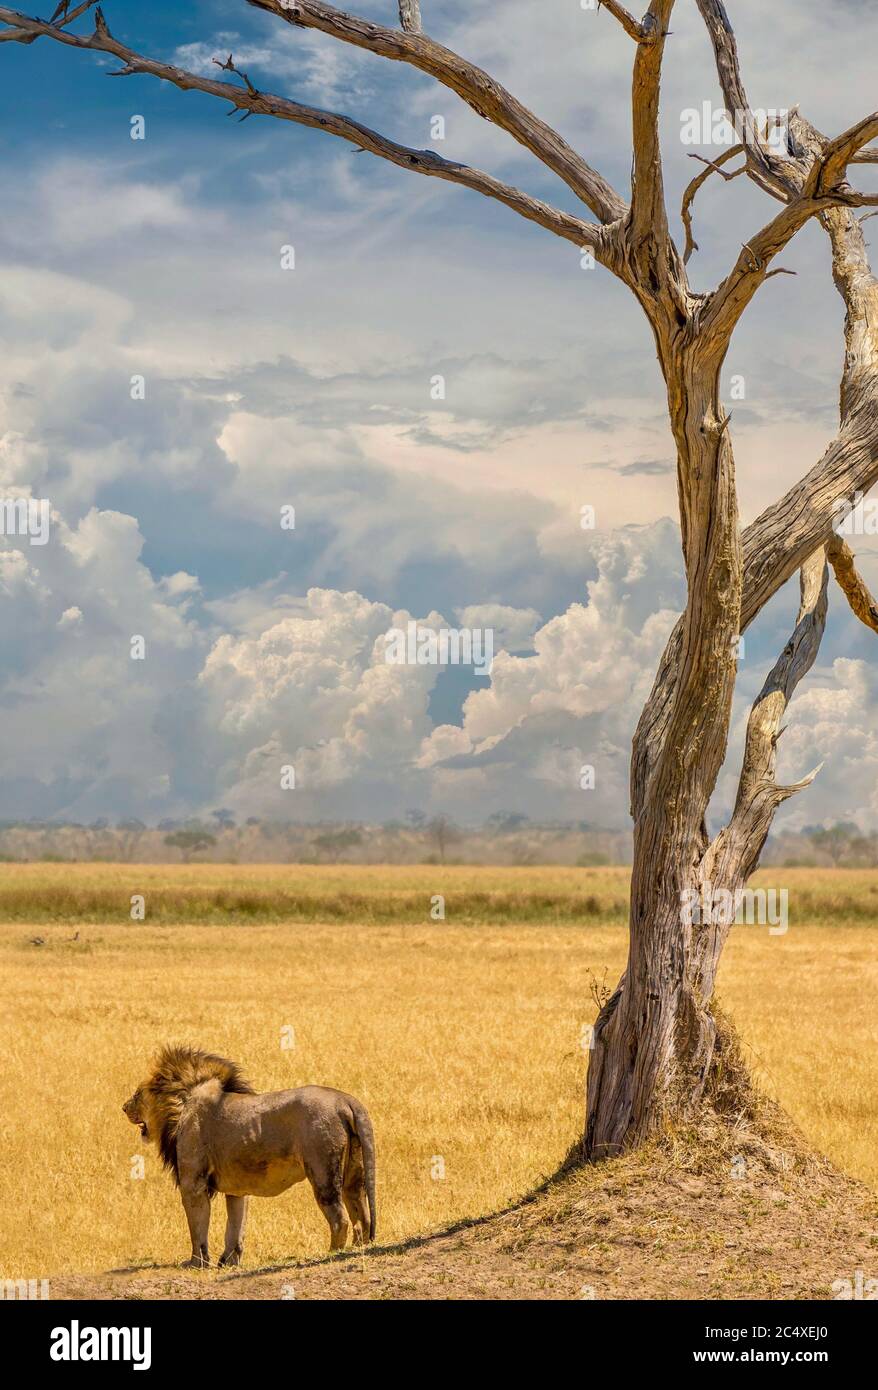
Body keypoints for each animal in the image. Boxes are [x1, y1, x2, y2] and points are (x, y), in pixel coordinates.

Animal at [122, 1045, 376, 1267]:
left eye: (137, 1094)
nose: (123, 1108)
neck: (181, 1105)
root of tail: (345, 1100)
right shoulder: (236, 1188)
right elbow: (235, 1227)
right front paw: (228, 1262)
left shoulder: (193, 1184)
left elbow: (198, 1228)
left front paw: (196, 1263)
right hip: (354, 1173)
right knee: (361, 1214)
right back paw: (358, 1249)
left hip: (323, 1171)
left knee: (340, 1218)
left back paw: (332, 1253)